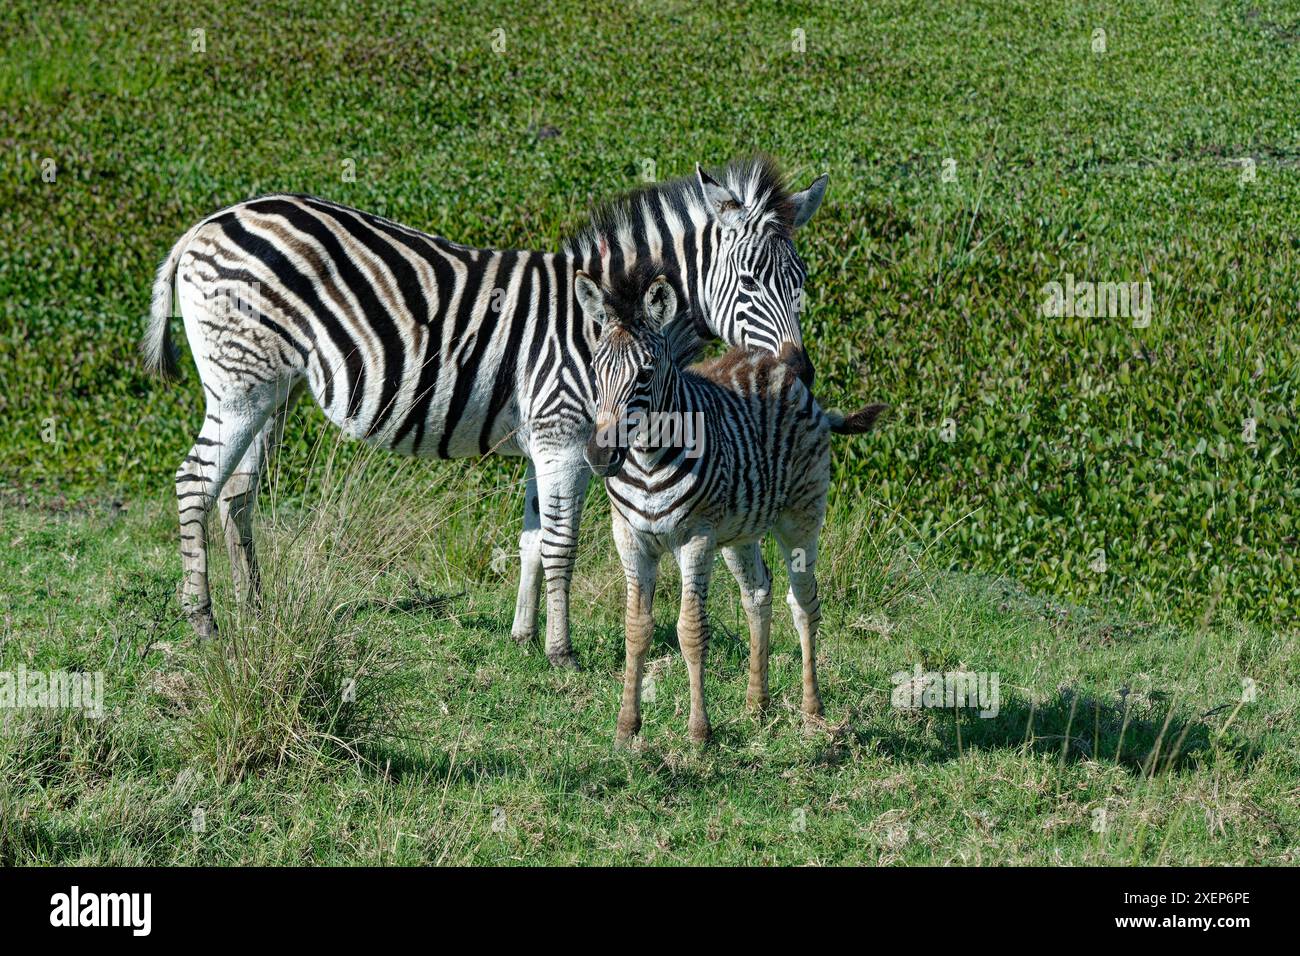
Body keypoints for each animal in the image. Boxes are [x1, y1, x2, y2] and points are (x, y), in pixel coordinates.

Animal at [143, 157, 830, 667]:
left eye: (801, 281)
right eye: (748, 281)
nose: (800, 374)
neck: (605, 322)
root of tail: (205, 225)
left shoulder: (543, 439)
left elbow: (531, 540)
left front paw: (524, 635)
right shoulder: (565, 436)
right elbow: (561, 543)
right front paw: (561, 652)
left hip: (271, 394)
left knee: (236, 494)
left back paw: (254, 610)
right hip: (240, 387)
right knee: (195, 482)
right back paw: (203, 621)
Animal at [573, 265, 885, 743]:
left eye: (645, 373)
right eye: (594, 369)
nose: (600, 455)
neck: (646, 459)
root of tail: (777, 366)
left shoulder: (696, 539)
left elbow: (690, 631)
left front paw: (699, 731)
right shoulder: (630, 538)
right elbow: (636, 630)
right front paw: (627, 727)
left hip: (801, 517)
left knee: (804, 602)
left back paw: (813, 711)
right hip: (741, 529)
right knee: (758, 594)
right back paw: (757, 704)